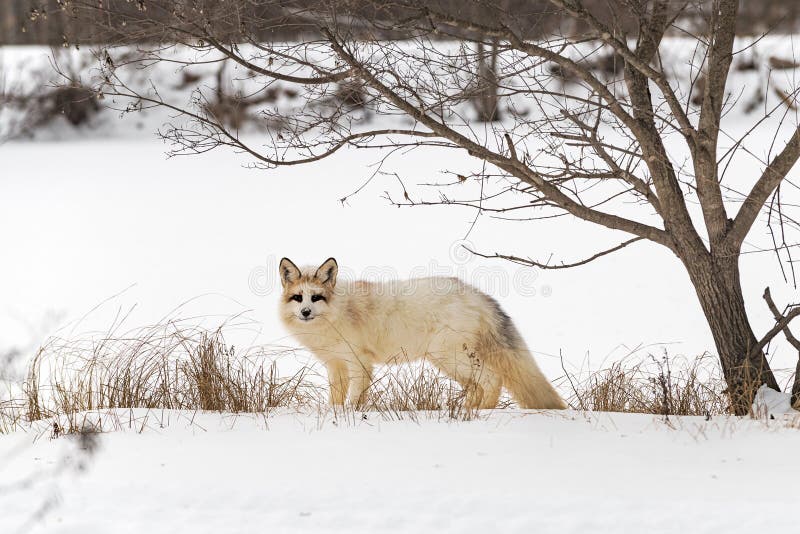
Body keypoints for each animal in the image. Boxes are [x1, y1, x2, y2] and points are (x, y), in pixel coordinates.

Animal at [278, 257, 567, 410]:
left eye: (316, 297)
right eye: (298, 297)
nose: (305, 312)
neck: (338, 313)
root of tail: (477, 295)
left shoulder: (359, 362)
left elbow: (355, 397)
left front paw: (350, 415)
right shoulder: (336, 365)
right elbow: (335, 399)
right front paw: (334, 414)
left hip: (447, 356)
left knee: (492, 379)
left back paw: (480, 413)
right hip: (449, 362)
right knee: (477, 385)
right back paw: (466, 410)